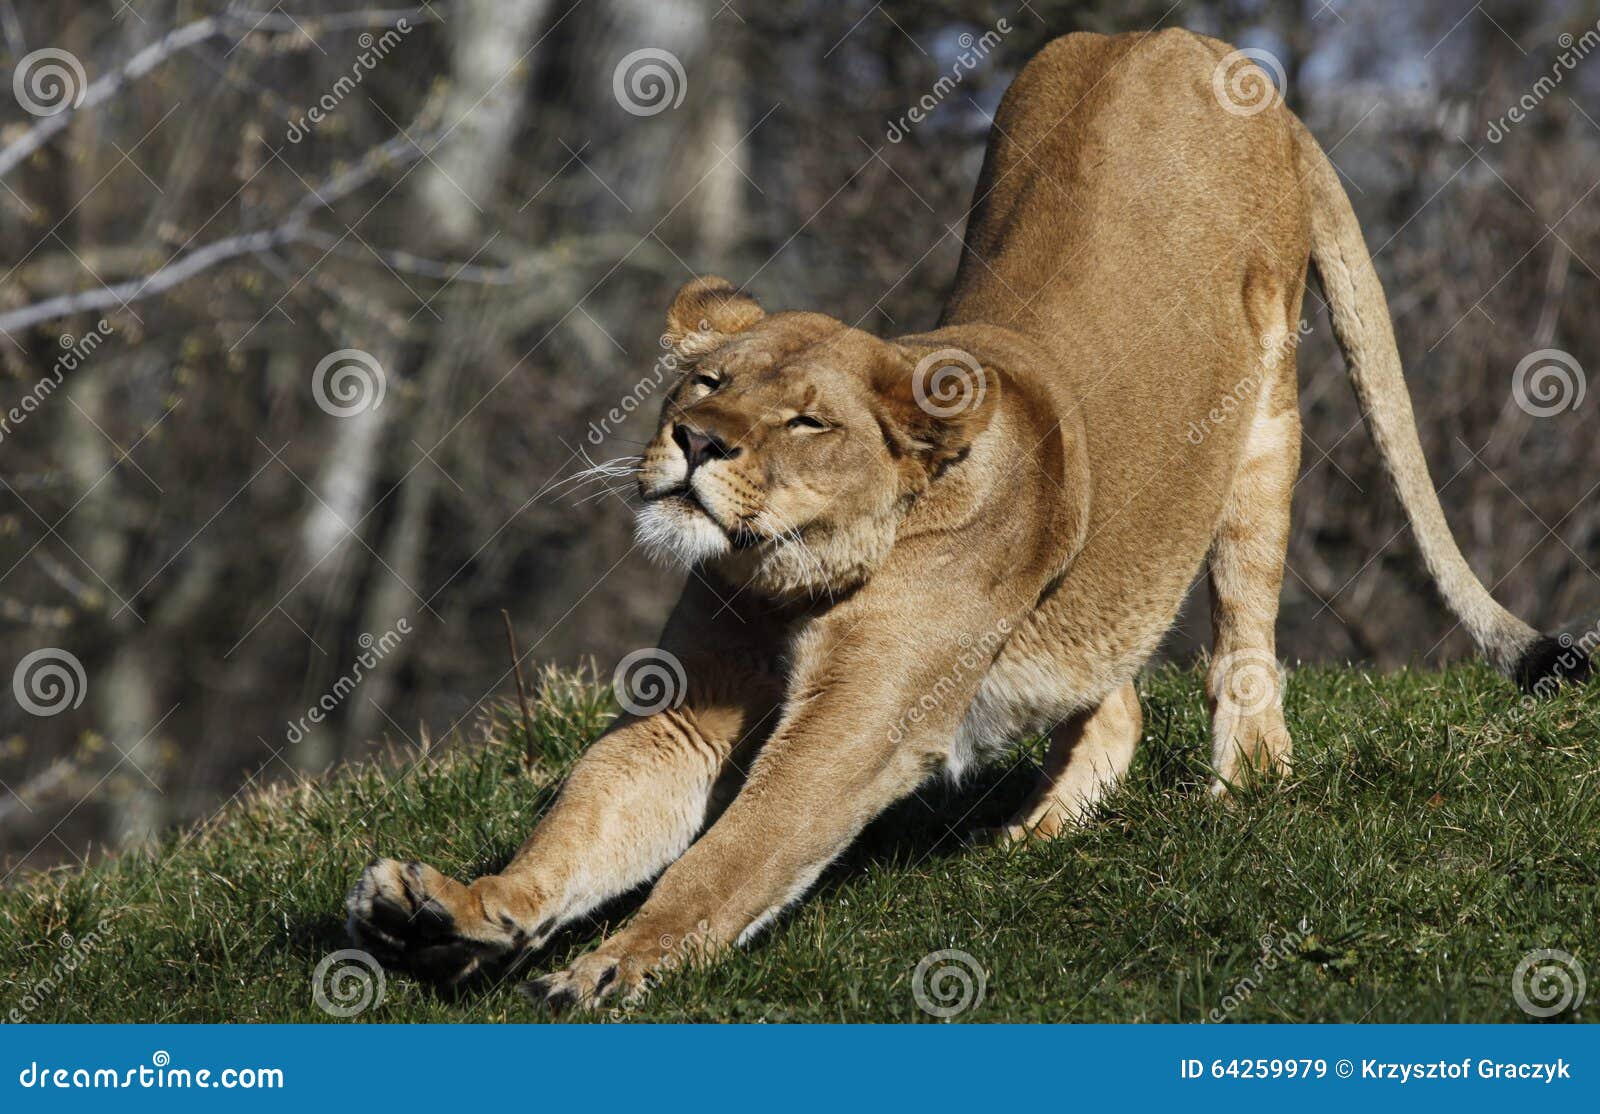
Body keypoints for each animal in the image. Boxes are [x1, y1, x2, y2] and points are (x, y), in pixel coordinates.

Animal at [345, 29, 1592, 1009]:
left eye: (804, 420)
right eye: (706, 383)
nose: (696, 444)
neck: (793, 574)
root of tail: (1197, 42)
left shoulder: (857, 724)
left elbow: (735, 852)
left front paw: (616, 965)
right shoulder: (685, 719)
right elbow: (586, 817)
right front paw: (449, 910)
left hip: (1262, 425)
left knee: (1242, 646)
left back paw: (1238, 788)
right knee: (1116, 691)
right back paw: (1031, 839)